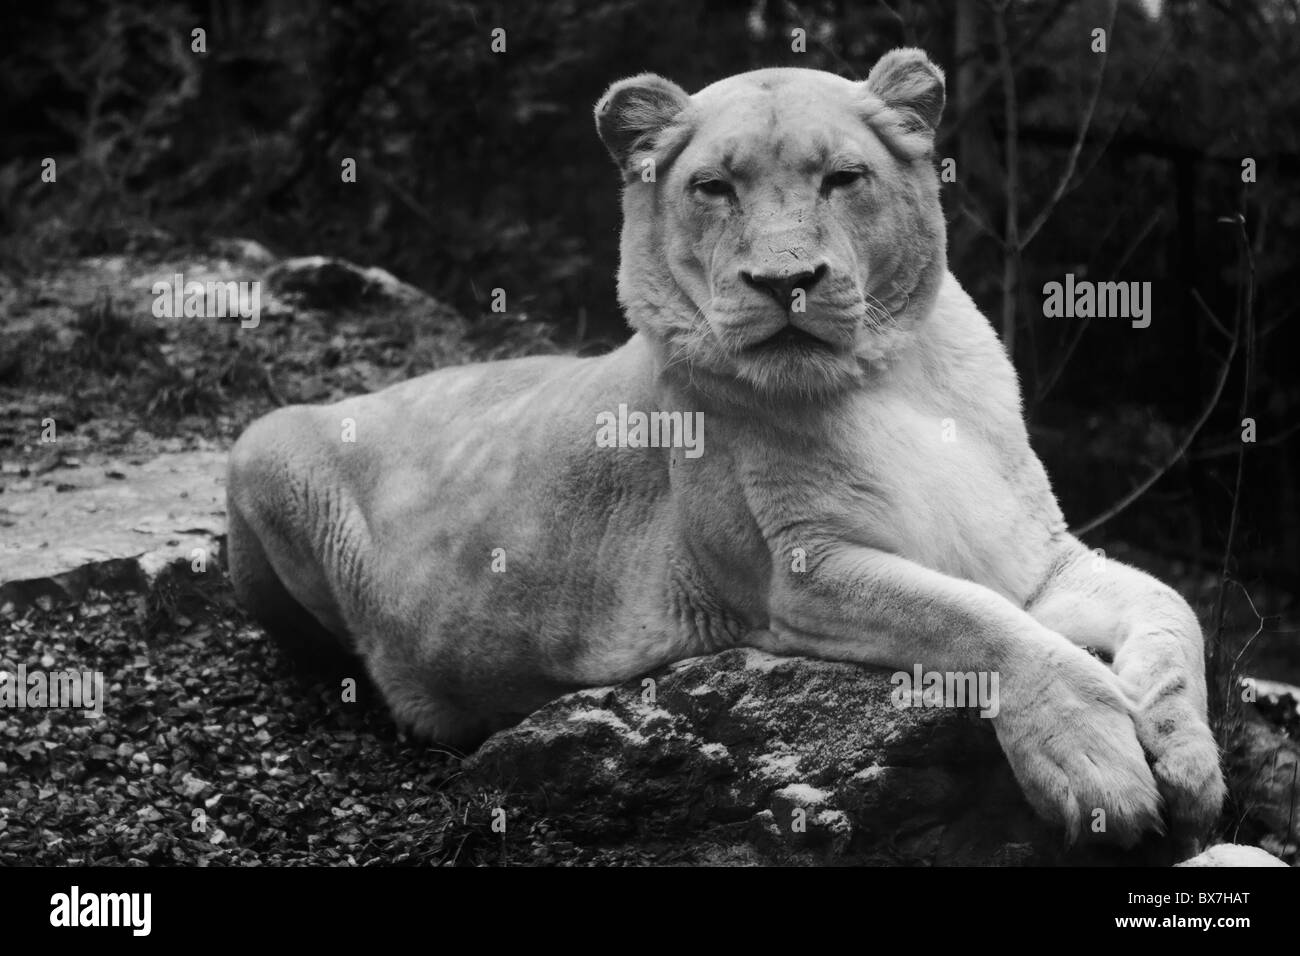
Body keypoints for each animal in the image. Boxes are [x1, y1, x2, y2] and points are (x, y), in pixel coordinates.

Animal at [226, 49, 1225, 849]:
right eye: (714, 188)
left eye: (843, 178)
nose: (786, 281)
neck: (893, 378)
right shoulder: (796, 575)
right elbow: (979, 623)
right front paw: (1099, 770)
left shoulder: (1039, 557)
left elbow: (1172, 607)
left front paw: (1188, 760)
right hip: (259, 447)